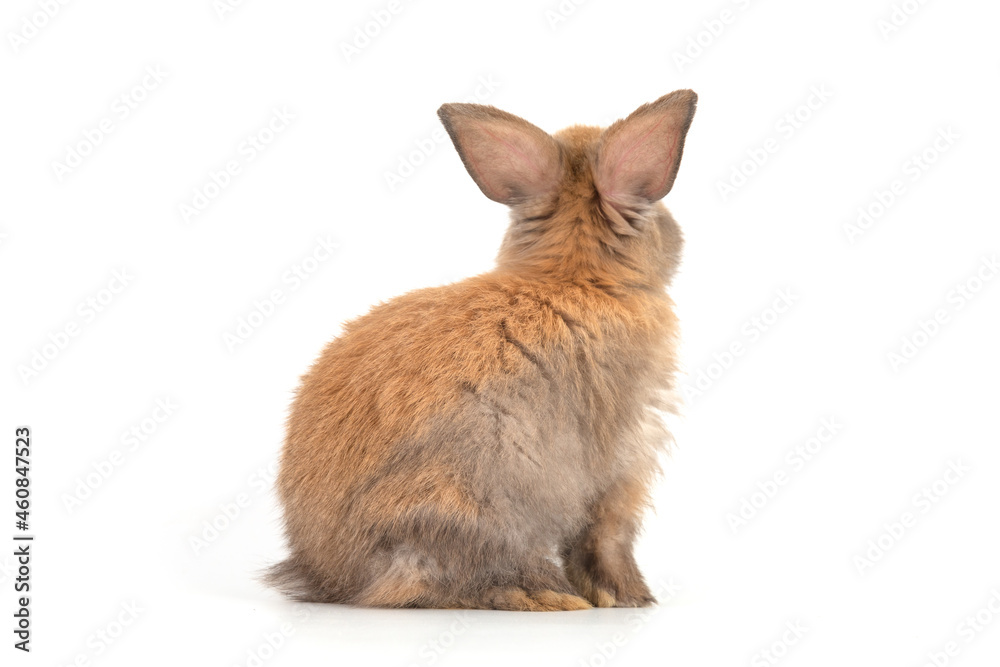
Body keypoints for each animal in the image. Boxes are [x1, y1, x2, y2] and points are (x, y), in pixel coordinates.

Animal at [266, 90, 697, 611]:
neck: (577, 275)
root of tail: (335, 576)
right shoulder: (625, 458)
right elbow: (608, 538)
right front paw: (631, 597)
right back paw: (545, 595)